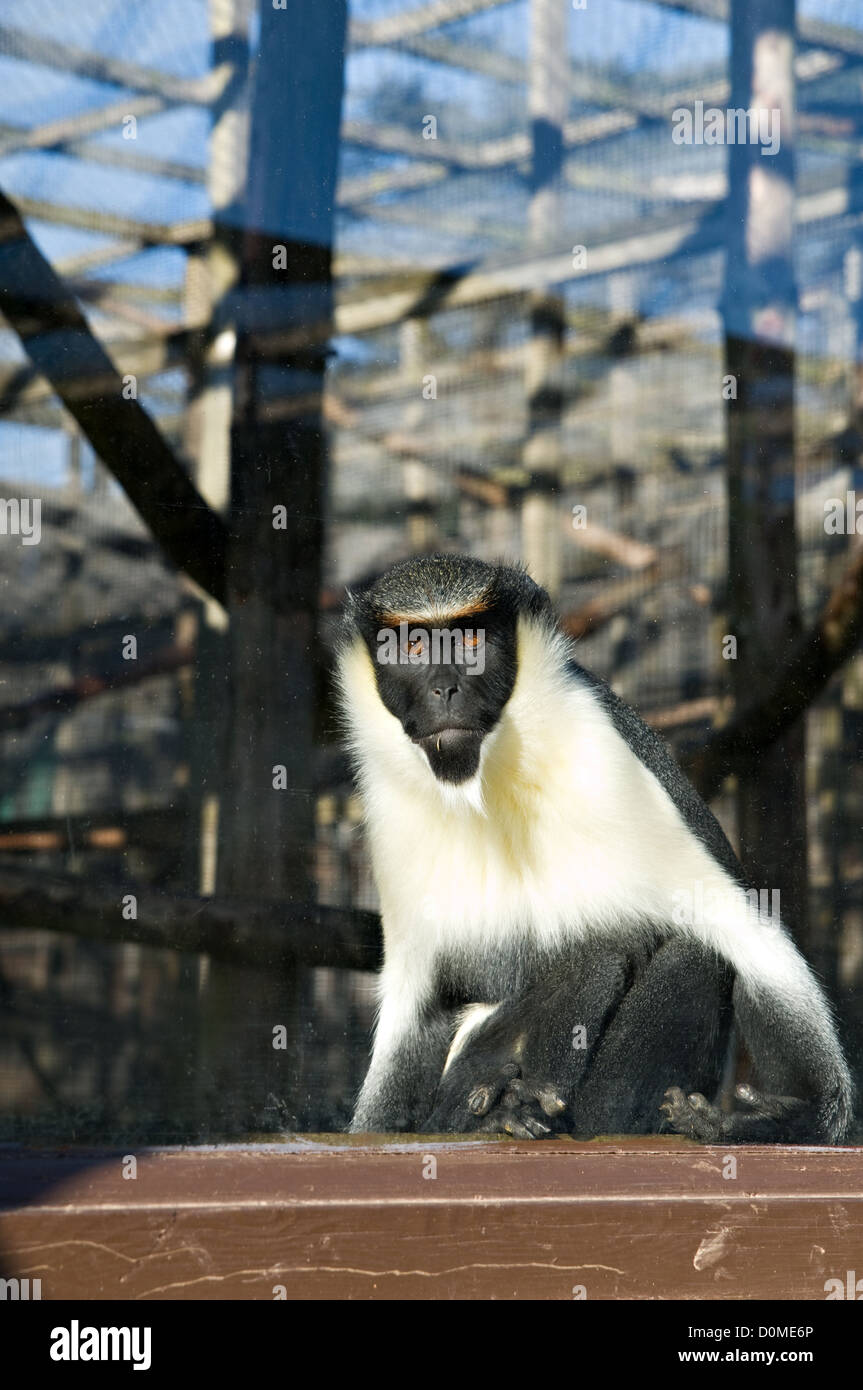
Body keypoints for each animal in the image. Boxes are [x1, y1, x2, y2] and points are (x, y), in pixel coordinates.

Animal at [336, 553, 853, 1143]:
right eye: (415, 647)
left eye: (470, 640)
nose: (445, 689)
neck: (484, 782)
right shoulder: (388, 810)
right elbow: (414, 1018)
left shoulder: (605, 747)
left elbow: (742, 931)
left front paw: (783, 1117)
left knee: (664, 952)